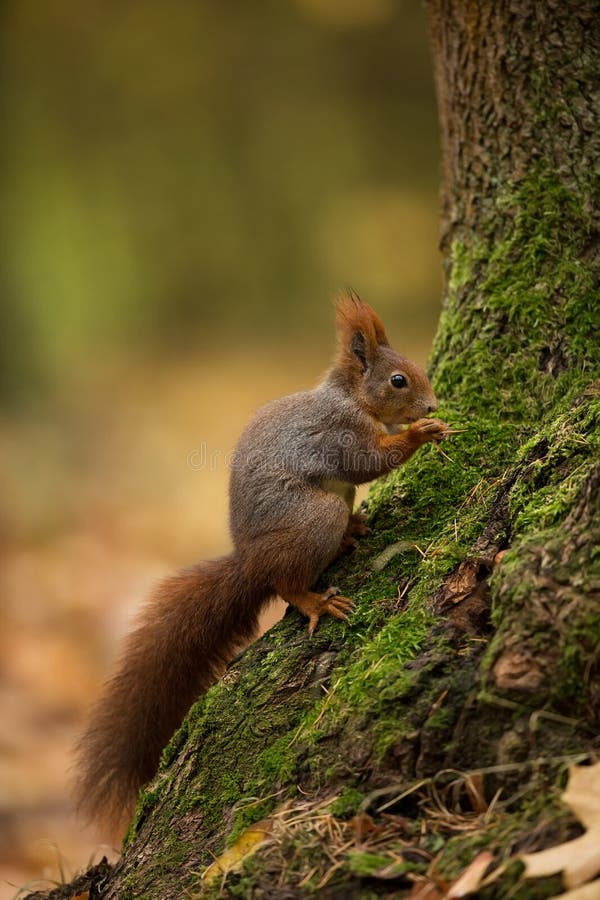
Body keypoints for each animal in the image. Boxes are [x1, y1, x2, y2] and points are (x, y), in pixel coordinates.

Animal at [74, 293, 449, 830]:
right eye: (399, 380)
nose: (433, 405)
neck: (351, 399)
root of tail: (251, 565)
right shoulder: (339, 434)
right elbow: (367, 462)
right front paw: (419, 432)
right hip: (315, 517)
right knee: (288, 582)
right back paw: (315, 599)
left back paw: (352, 533)